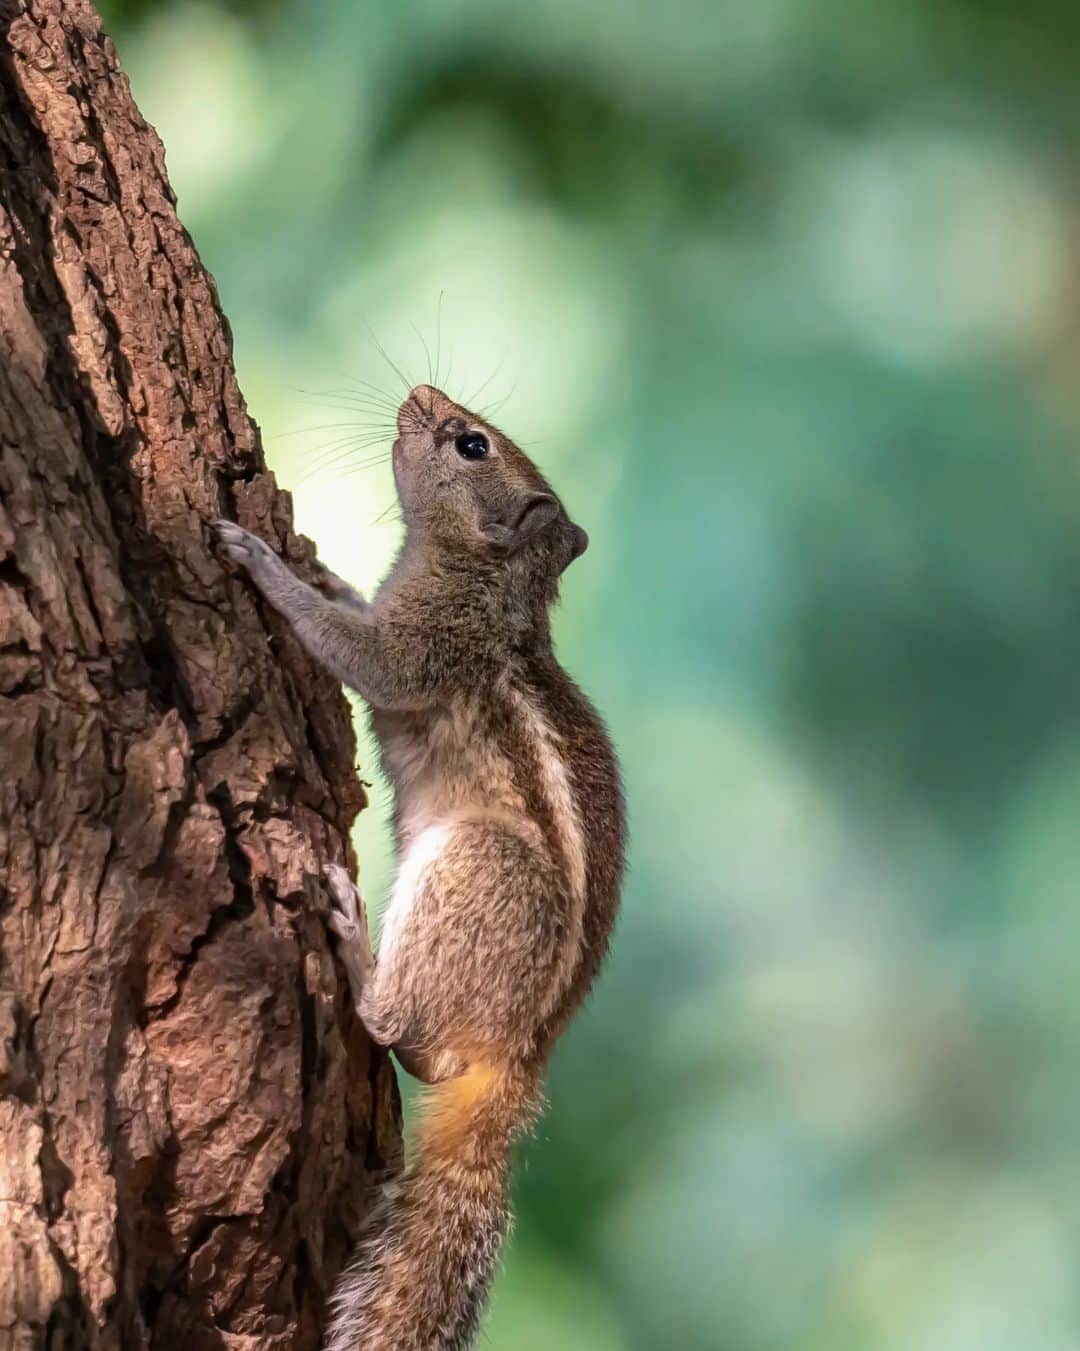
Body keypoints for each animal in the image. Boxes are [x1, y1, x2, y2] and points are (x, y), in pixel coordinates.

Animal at [213, 383, 625, 1351]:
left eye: (470, 444)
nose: (420, 395)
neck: (487, 574)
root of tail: (517, 1060)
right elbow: (350, 604)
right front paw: (317, 564)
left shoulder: (425, 643)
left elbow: (359, 650)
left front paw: (265, 562)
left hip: (473, 865)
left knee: (394, 1022)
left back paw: (351, 935)